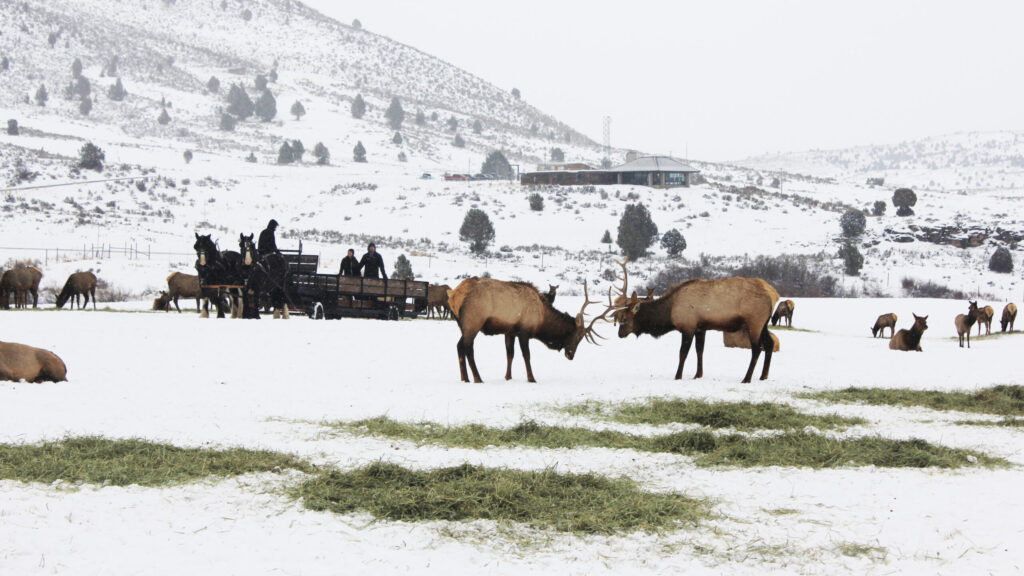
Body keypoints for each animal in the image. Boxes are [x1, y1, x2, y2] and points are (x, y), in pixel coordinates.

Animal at [447, 278, 605, 383]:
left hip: (463, 325)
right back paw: (477, 378)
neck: (541, 319)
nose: (570, 355)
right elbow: (526, 355)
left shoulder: (510, 331)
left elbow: (510, 354)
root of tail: (454, 295)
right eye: (577, 336)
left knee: (459, 346)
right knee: (468, 347)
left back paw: (464, 378)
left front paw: (508, 377)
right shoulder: (524, 331)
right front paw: (531, 378)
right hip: (473, 322)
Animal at [607, 259, 779, 383]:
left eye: (625, 318)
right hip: (763, 324)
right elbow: (699, 350)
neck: (670, 312)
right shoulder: (700, 328)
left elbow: (683, 353)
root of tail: (774, 295)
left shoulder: (688, 326)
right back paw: (764, 376)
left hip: (754, 322)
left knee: (757, 348)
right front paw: (698, 375)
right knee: (769, 343)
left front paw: (678, 376)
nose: (620, 333)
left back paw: (747, 378)